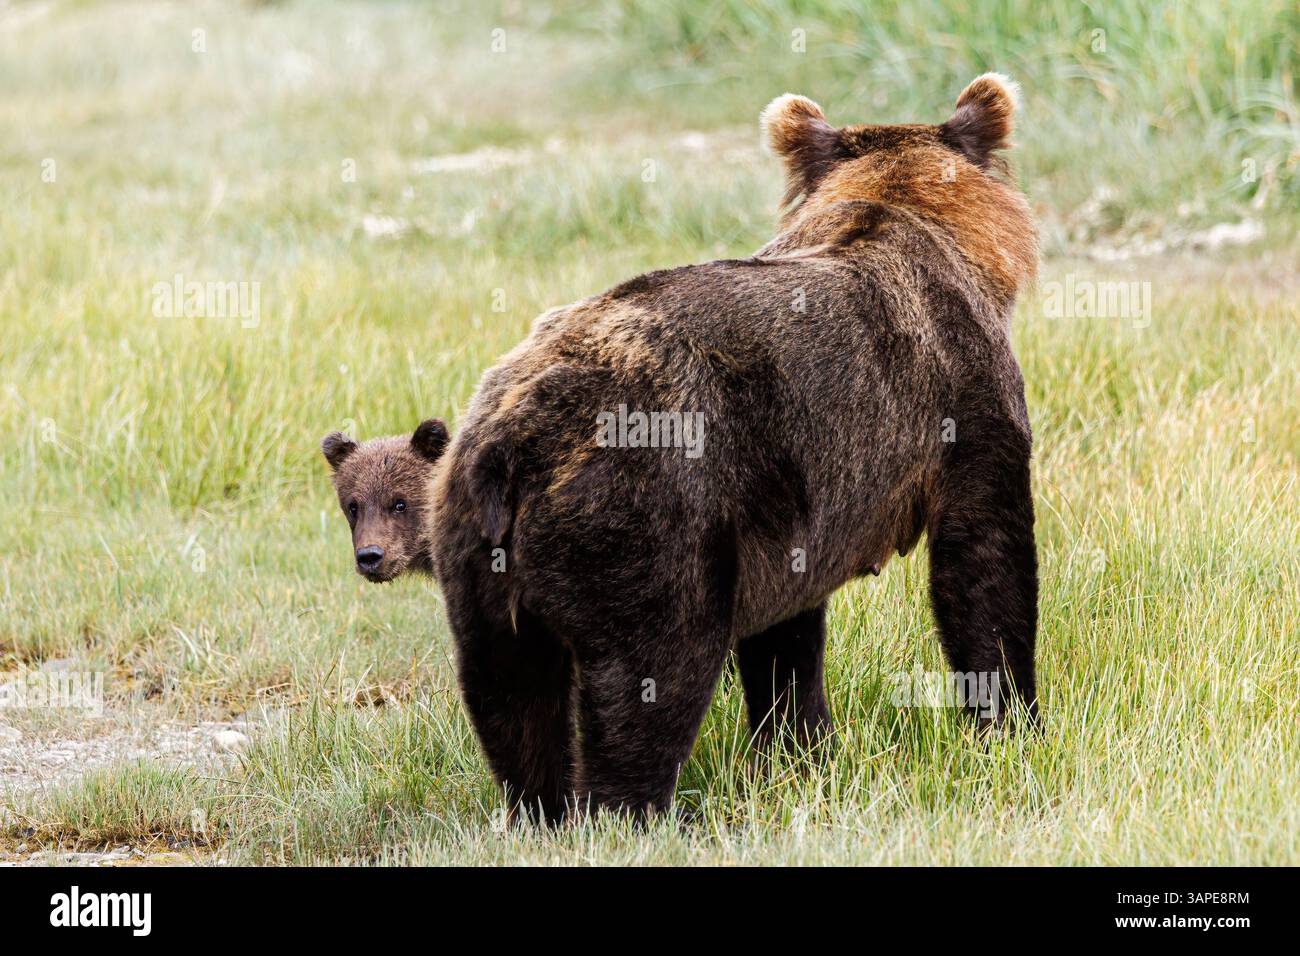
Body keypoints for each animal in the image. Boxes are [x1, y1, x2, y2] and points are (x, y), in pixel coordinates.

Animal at [325, 74, 1040, 824]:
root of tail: (516, 445)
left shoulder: (790, 504)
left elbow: (787, 637)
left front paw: (802, 749)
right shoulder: (960, 398)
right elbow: (985, 562)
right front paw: (1013, 726)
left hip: (474, 549)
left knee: (513, 694)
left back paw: (542, 810)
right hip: (652, 515)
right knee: (654, 673)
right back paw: (637, 812)